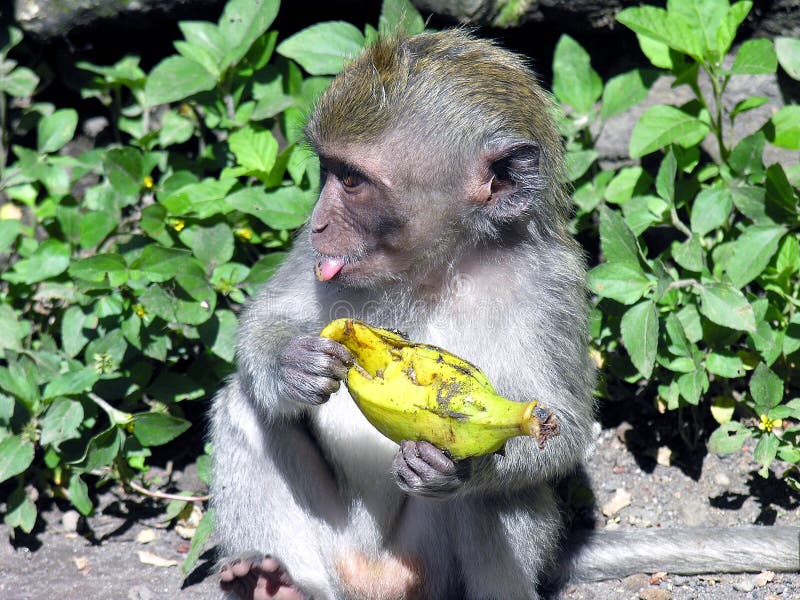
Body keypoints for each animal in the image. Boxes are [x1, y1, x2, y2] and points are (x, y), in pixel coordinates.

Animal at [209, 30, 799, 600]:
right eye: (328, 172)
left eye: (352, 181)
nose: (317, 224)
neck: (436, 267)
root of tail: (374, 579)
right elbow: (264, 322)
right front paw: (296, 365)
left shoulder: (551, 285)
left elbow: (561, 428)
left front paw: (452, 467)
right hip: (332, 553)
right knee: (246, 406)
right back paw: (273, 585)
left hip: (432, 567)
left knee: (500, 495)